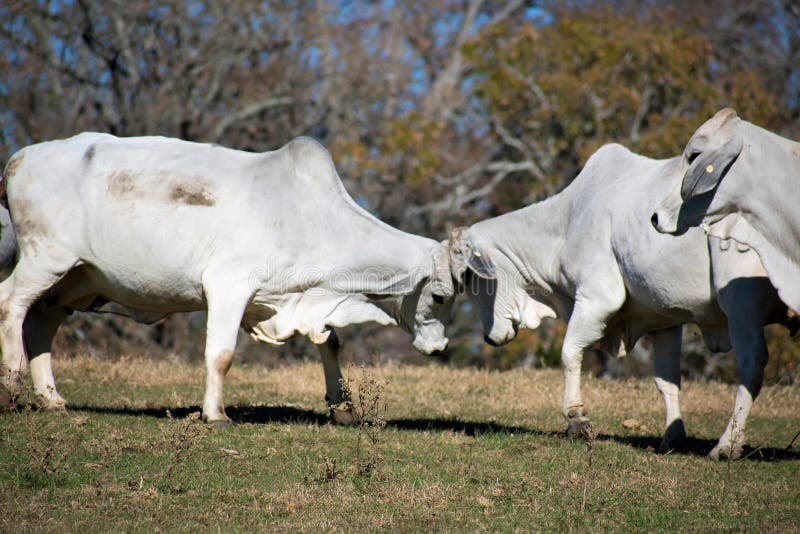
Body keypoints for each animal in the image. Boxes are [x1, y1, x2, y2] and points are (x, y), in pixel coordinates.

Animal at [0, 133, 454, 425]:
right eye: (441, 296)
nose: (440, 346)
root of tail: (20, 158)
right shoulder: (228, 286)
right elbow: (221, 354)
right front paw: (215, 414)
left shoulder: (299, 300)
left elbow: (331, 343)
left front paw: (343, 409)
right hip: (46, 258)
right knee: (10, 304)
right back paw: (10, 389)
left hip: (79, 277)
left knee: (41, 319)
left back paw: (51, 398)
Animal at [432, 143, 798, 459]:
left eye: (468, 277)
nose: (488, 338)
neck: (566, 223)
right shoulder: (666, 319)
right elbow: (667, 380)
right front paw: (672, 437)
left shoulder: (598, 298)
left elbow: (569, 353)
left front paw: (576, 420)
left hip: (741, 303)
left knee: (751, 361)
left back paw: (726, 446)